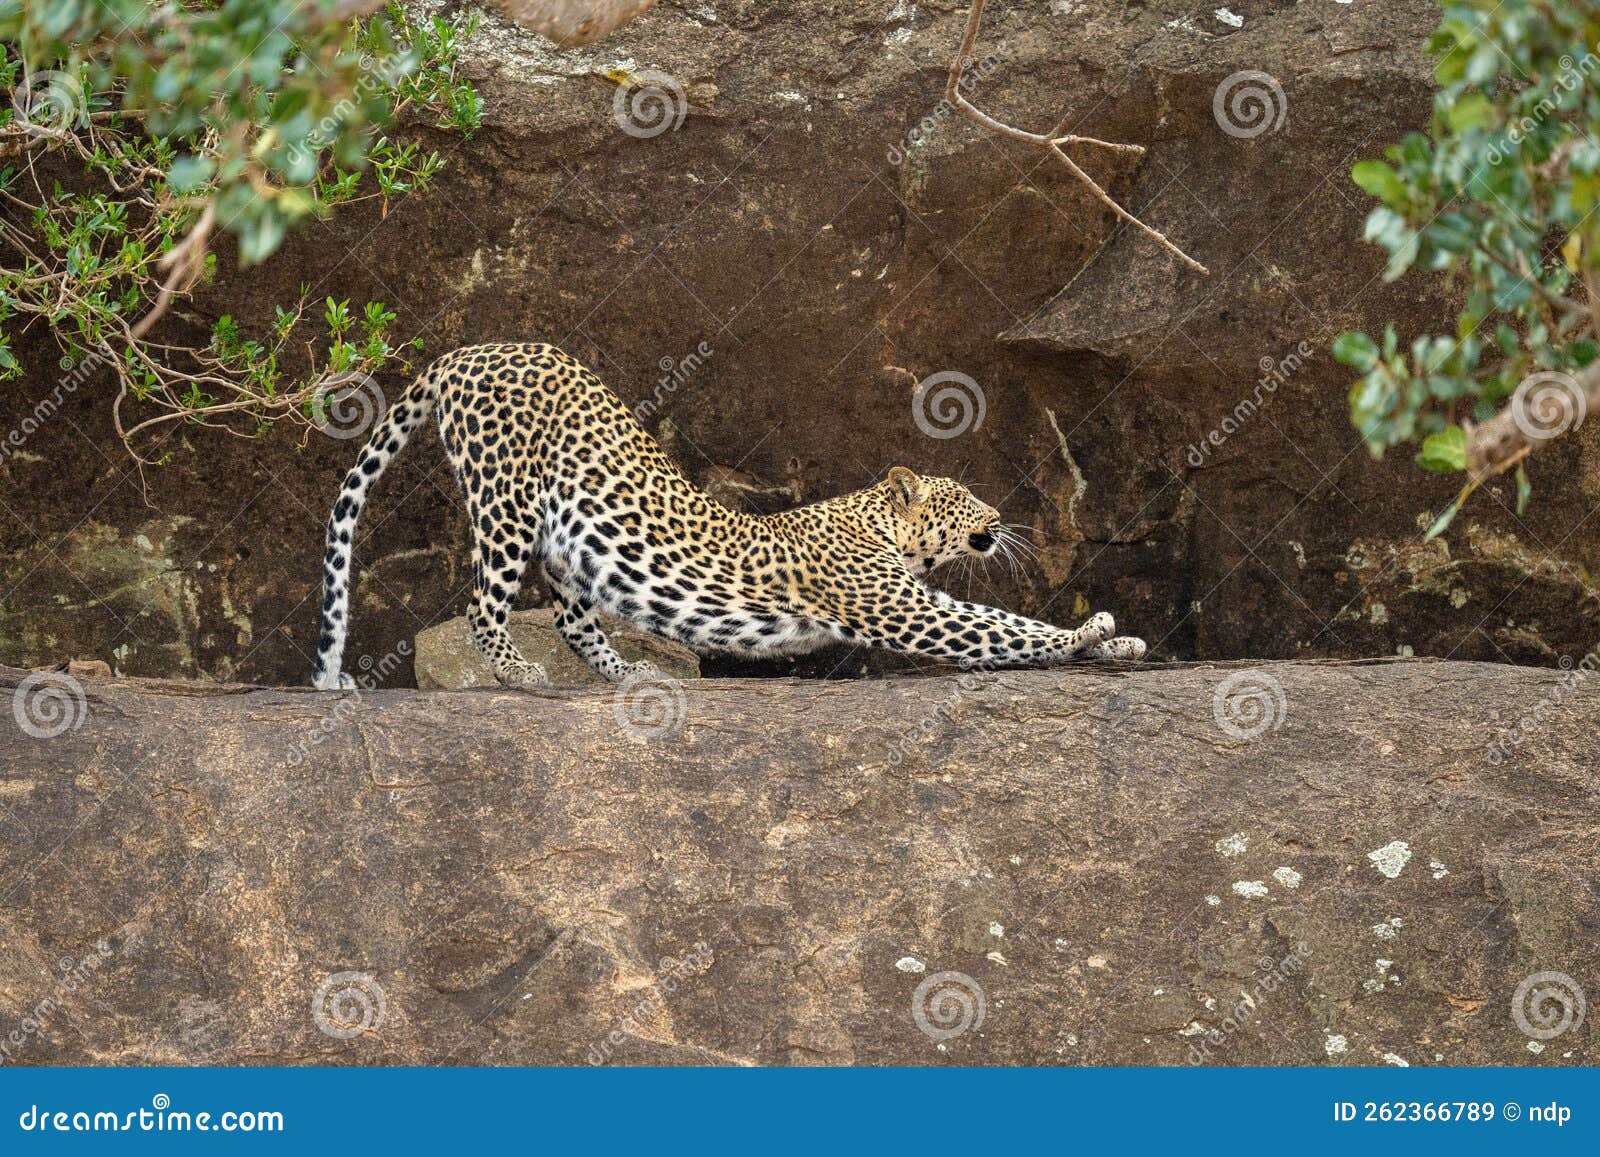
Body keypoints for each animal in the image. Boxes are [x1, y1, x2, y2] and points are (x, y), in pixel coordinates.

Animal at [310, 342, 1147, 690]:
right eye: (962, 499)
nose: (999, 514)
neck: (880, 530)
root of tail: (468, 351)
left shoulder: (912, 594)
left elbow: (1008, 623)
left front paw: (1118, 641)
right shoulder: (900, 607)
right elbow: (999, 629)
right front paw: (1092, 631)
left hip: (574, 536)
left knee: (575, 619)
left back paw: (627, 674)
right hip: (505, 500)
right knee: (486, 604)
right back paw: (518, 674)